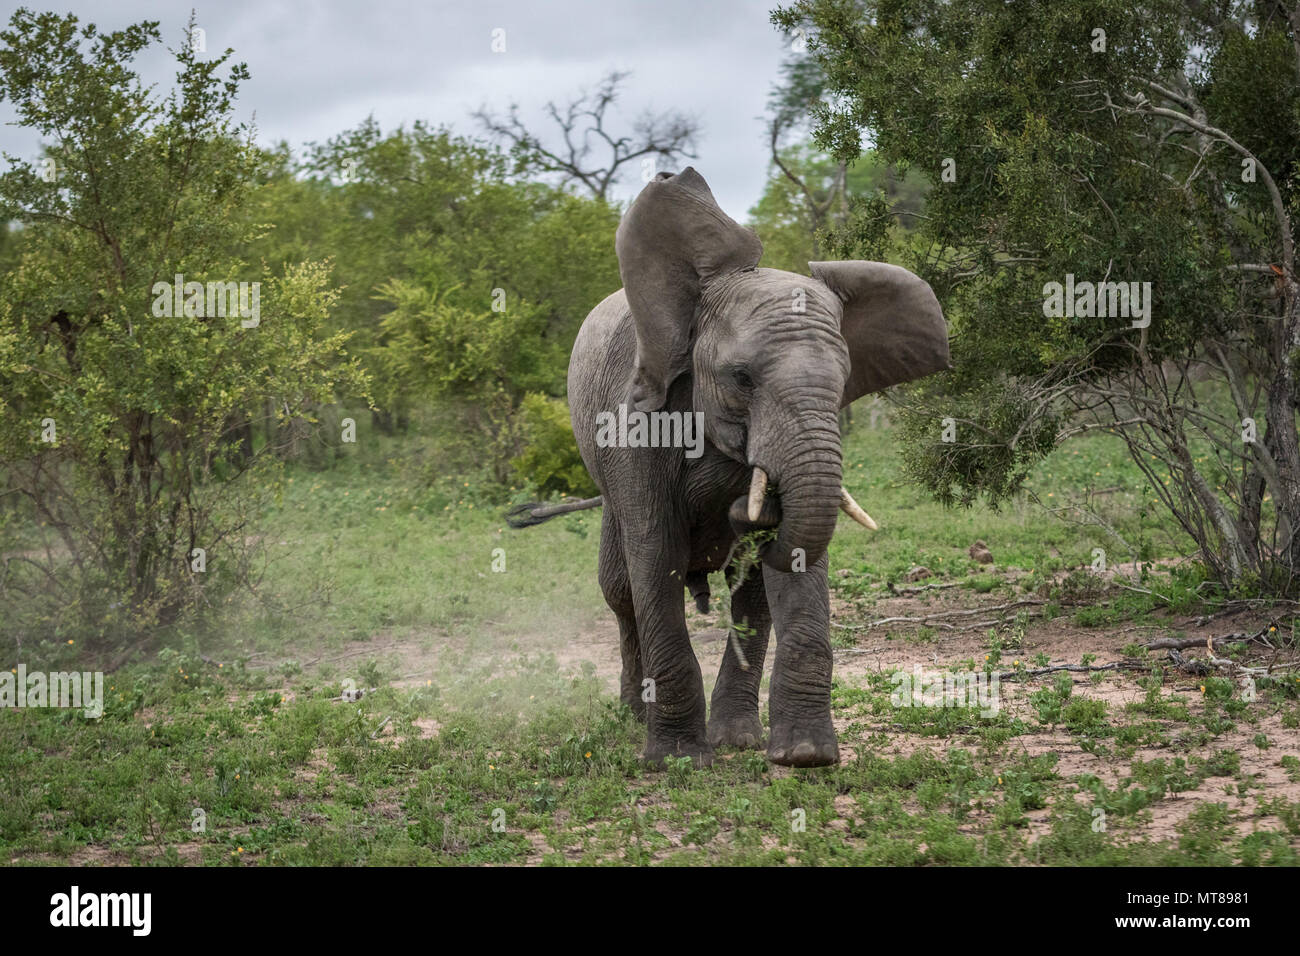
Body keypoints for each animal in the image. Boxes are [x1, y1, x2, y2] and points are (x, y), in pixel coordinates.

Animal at [509, 168, 949, 767]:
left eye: (844, 380)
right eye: (741, 378)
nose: (745, 510)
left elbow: (787, 566)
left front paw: (800, 755)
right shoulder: (637, 427)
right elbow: (656, 559)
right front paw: (676, 760)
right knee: (620, 590)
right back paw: (633, 716)